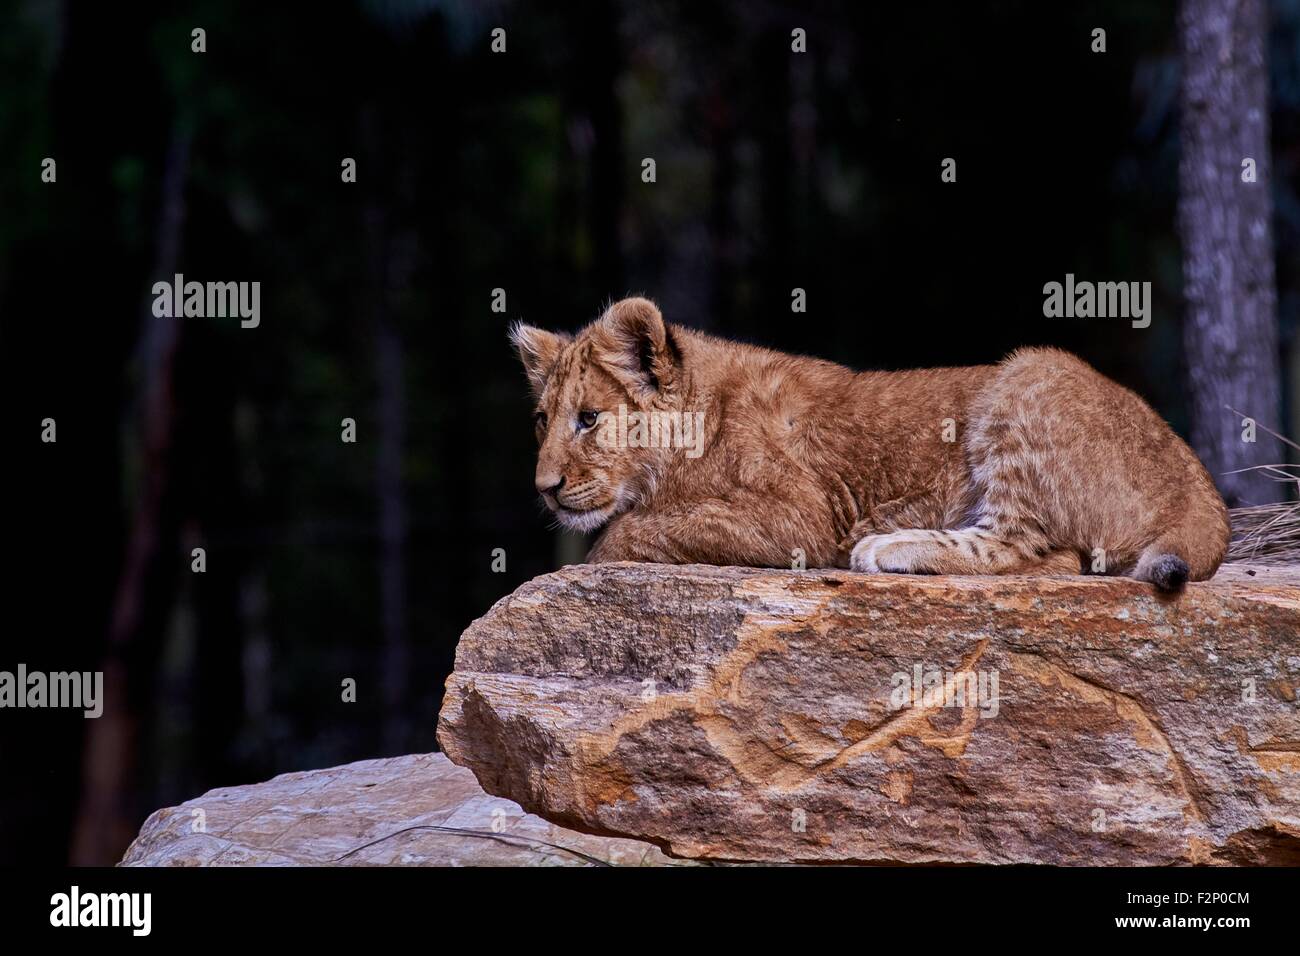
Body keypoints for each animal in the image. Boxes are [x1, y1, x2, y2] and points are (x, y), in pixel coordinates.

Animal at [511, 297, 1230, 590]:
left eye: (589, 419)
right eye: (542, 419)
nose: (543, 489)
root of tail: (1199, 482)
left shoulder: (798, 519)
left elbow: (633, 531)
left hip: (1028, 373)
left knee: (1035, 551)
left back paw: (888, 547)